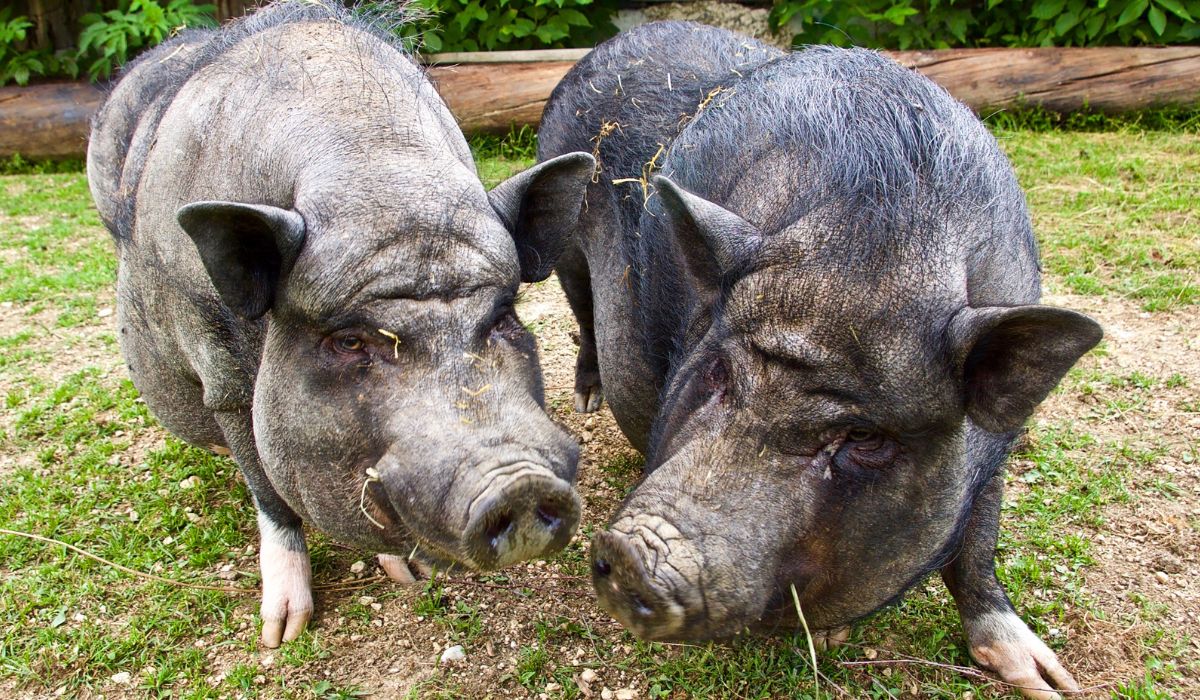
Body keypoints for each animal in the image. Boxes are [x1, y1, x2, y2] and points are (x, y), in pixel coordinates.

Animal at [87, 0, 594, 647]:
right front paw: (281, 635)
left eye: (503, 316)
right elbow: (269, 492)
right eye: (349, 340)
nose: (520, 481)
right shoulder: (223, 379)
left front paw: (407, 577)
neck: (377, 169)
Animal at [538, 21, 1101, 699]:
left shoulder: (996, 444)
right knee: (584, 313)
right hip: (566, 240)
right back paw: (587, 398)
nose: (631, 553)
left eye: (864, 438)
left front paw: (1050, 681)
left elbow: (978, 544)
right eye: (720, 372)